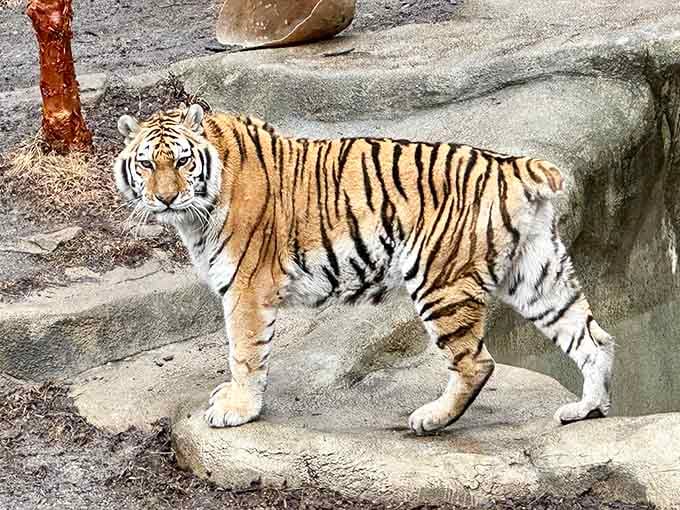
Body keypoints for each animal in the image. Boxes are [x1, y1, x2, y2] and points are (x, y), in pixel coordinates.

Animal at [113, 104, 615, 435]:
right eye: (146, 163)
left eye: (182, 161)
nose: (165, 198)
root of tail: (515, 165)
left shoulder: (247, 288)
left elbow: (245, 352)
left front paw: (237, 409)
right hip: (538, 274)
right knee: (595, 339)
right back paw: (587, 410)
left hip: (440, 281)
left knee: (476, 362)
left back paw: (430, 419)